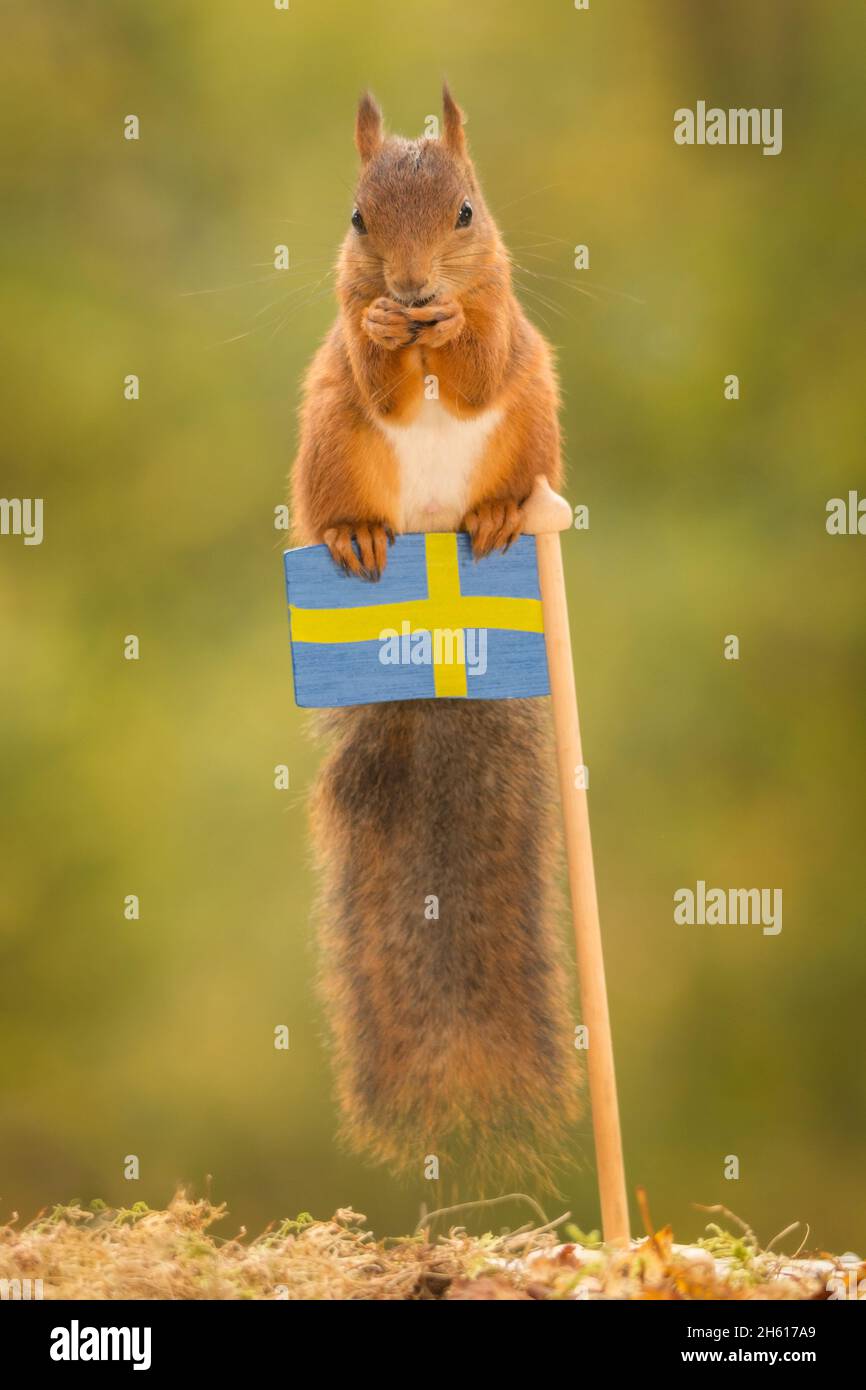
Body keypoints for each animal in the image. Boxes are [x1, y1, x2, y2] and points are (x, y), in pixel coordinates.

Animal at [291, 86, 582, 1188]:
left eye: (465, 212)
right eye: (356, 218)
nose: (412, 288)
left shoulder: (503, 315)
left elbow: (477, 364)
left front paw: (446, 325)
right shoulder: (347, 327)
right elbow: (374, 366)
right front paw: (384, 324)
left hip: (534, 429)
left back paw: (496, 519)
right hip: (327, 438)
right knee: (346, 458)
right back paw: (356, 534)